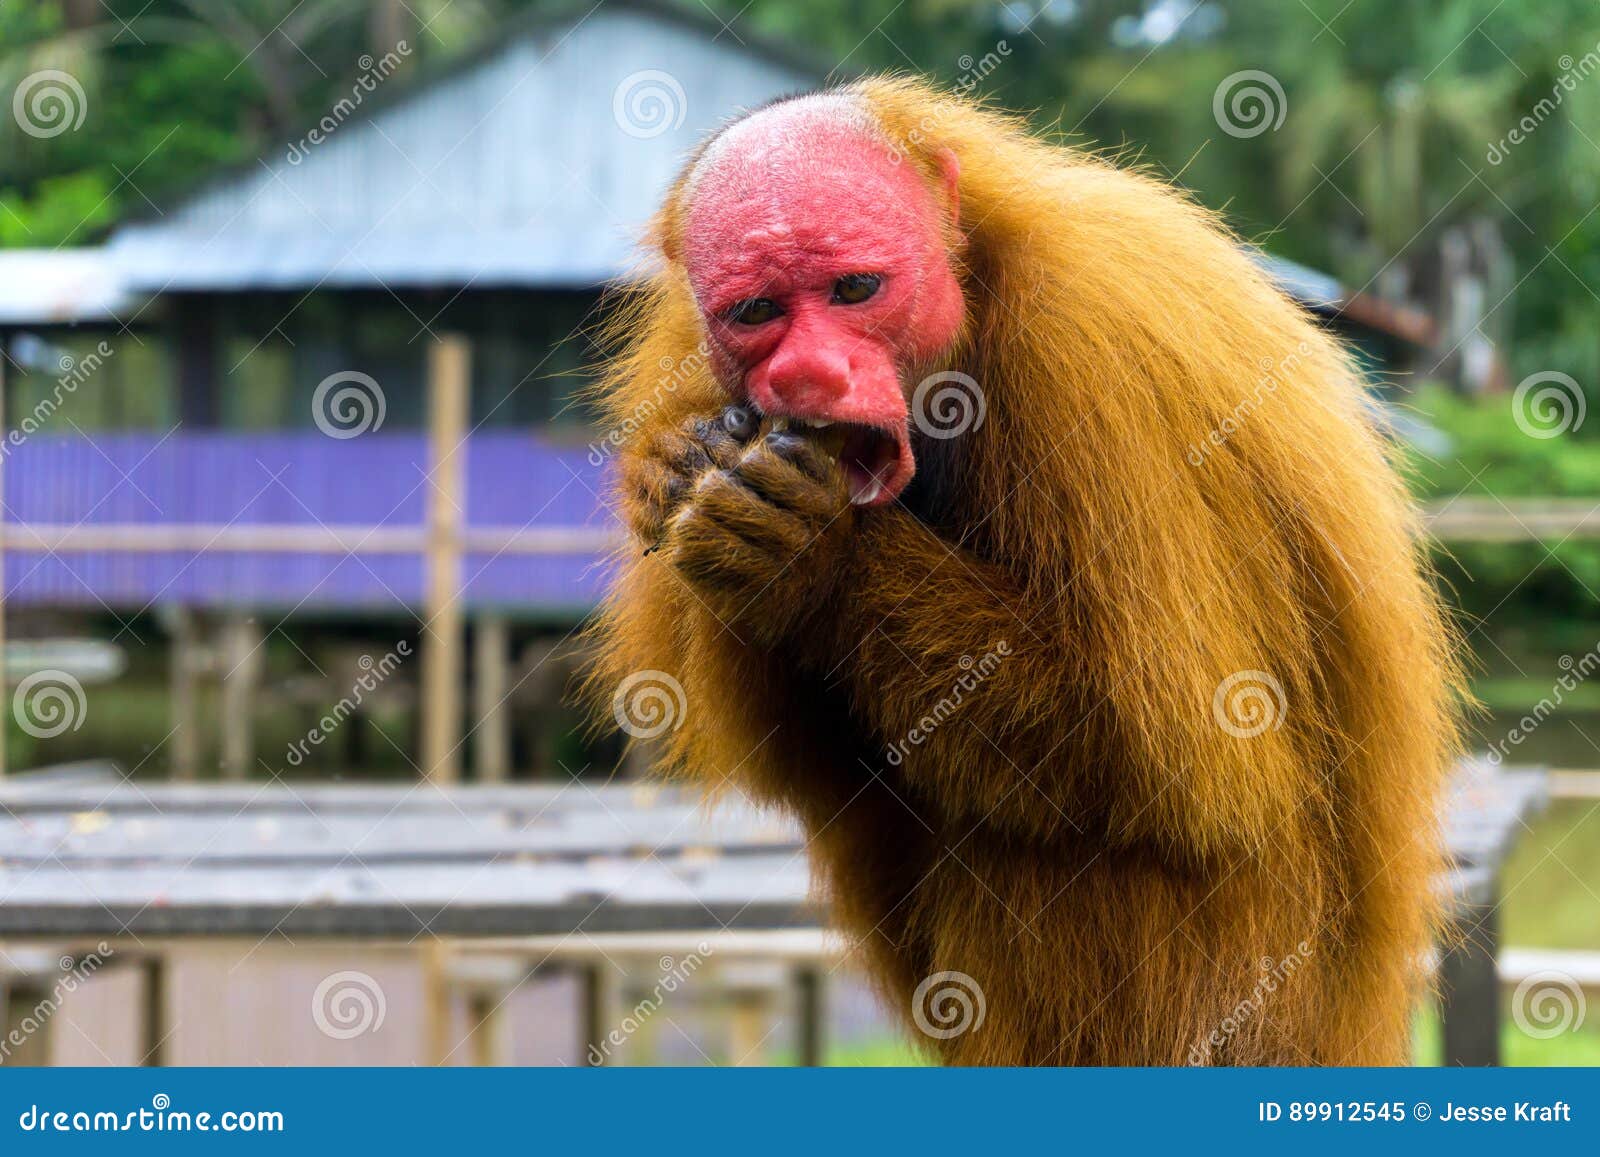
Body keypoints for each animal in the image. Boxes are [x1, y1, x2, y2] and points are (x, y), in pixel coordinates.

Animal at [585, 78, 1462, 1066]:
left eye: (856, 290)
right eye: (758, 312)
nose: (808, 373)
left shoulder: (1097, 355)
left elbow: (1180, 754)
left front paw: (813, 558)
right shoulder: (690, 364)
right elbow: (810, 767)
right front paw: (676, 467)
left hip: (1262, 992)